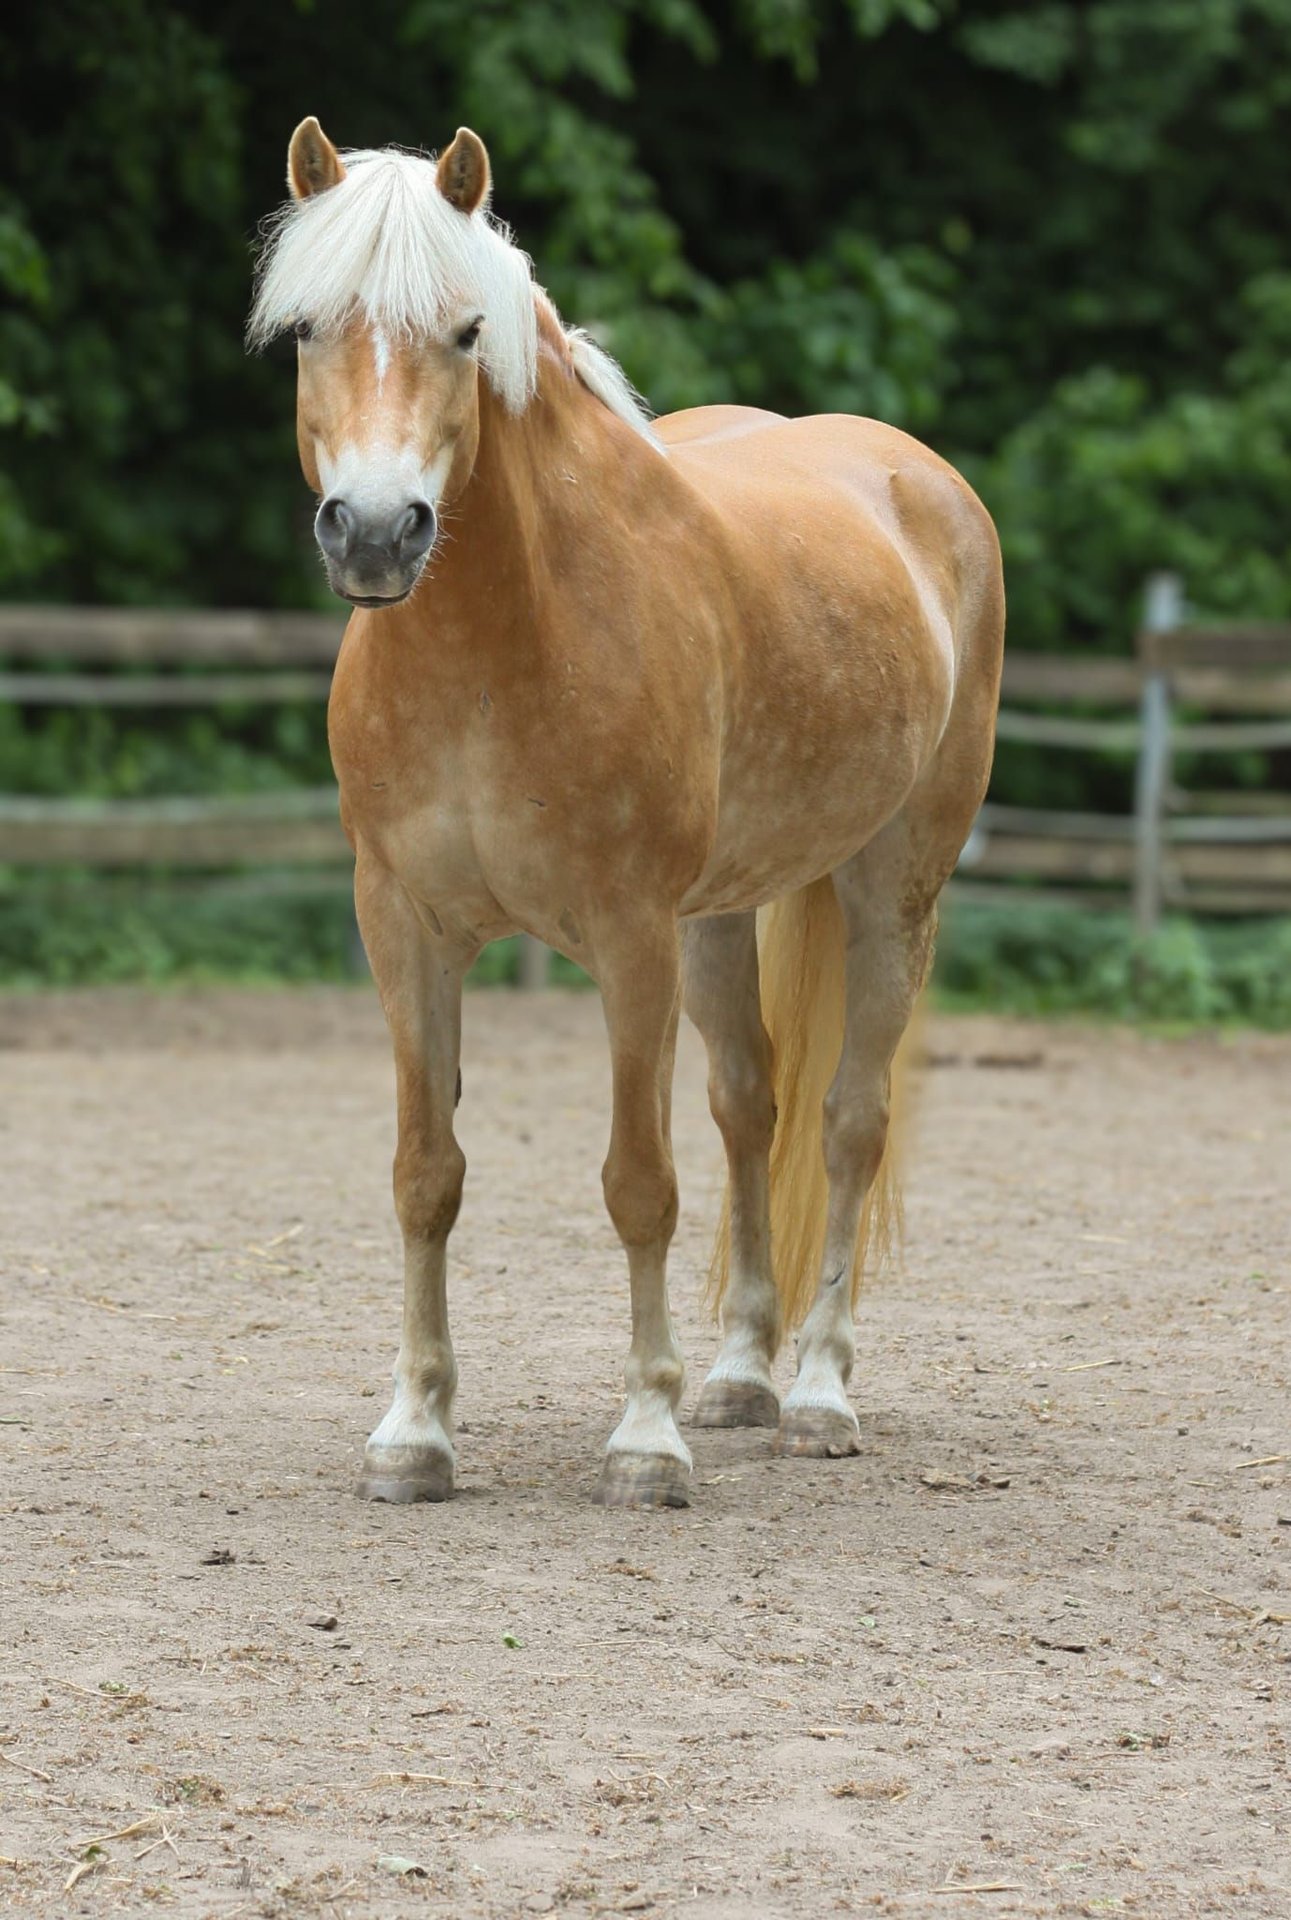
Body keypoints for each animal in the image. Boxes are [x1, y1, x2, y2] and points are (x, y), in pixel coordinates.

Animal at [249, 119, 1004, 1511]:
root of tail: (917, 478)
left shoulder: (628, 933)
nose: (376, 532)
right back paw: (742, 1375)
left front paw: (642, 1439)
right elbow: (425, 1175)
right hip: (722, 919)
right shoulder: (403, 928)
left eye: (466, 332)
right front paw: (415, 1431)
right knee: (752, 1109)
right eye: (312, 328)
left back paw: (818, 1394)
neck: (498, 645)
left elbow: (638, 1185)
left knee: (848, 1123)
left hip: (889, 889)